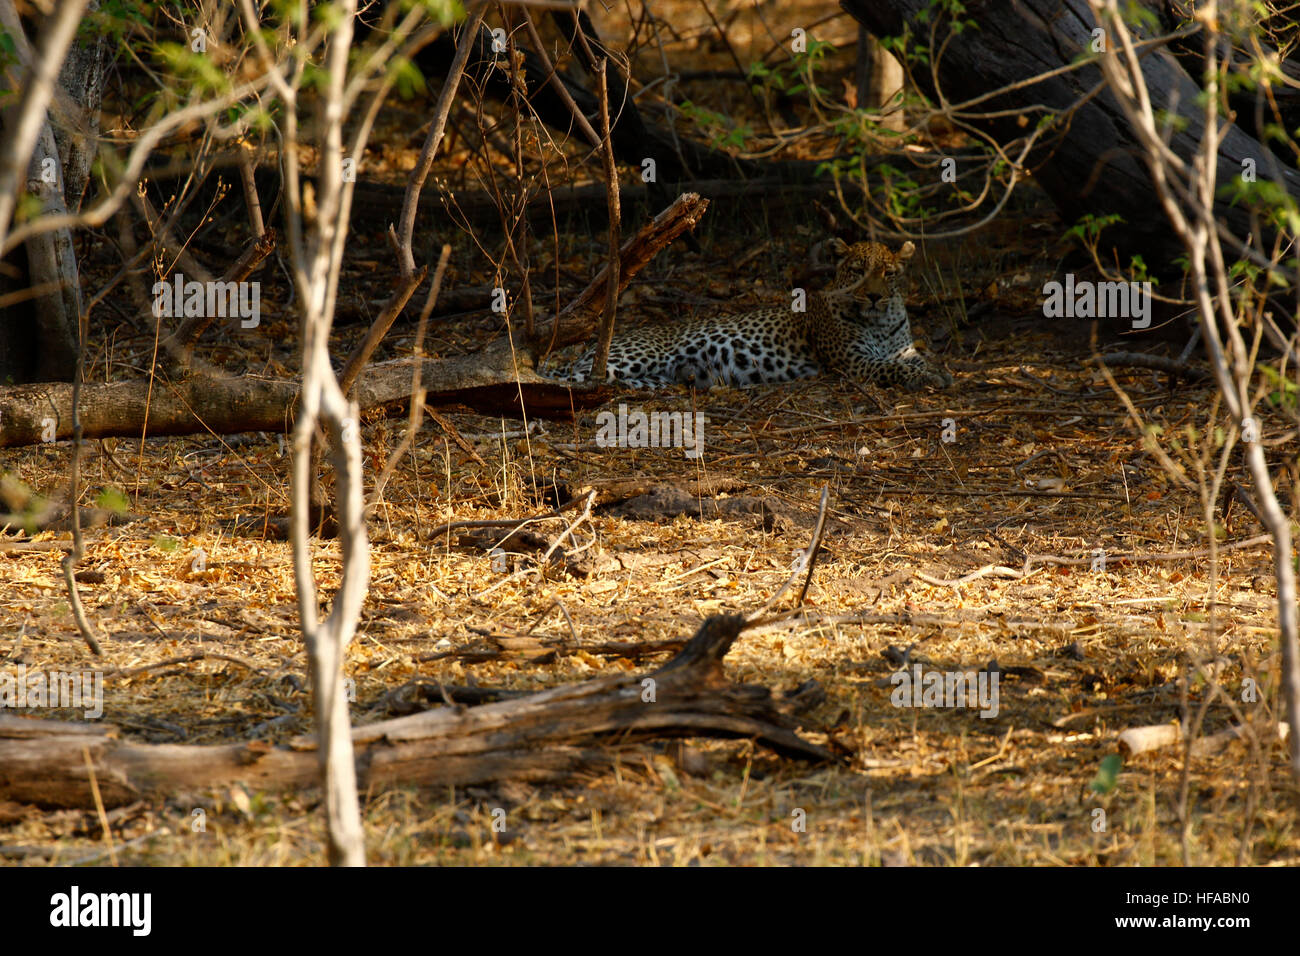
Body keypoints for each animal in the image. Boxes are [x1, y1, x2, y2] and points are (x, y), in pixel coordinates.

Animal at [551, 238, 952, 391]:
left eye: (888, 273)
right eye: (857, 271)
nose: (873, 296)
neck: (881, 322)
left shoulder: (904, 349)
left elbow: (918, 360)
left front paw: (941, 372)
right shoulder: (853, 361)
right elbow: (891, 369)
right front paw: (928, 378)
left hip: (651, 377)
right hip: (630, 356)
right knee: (568, 378)